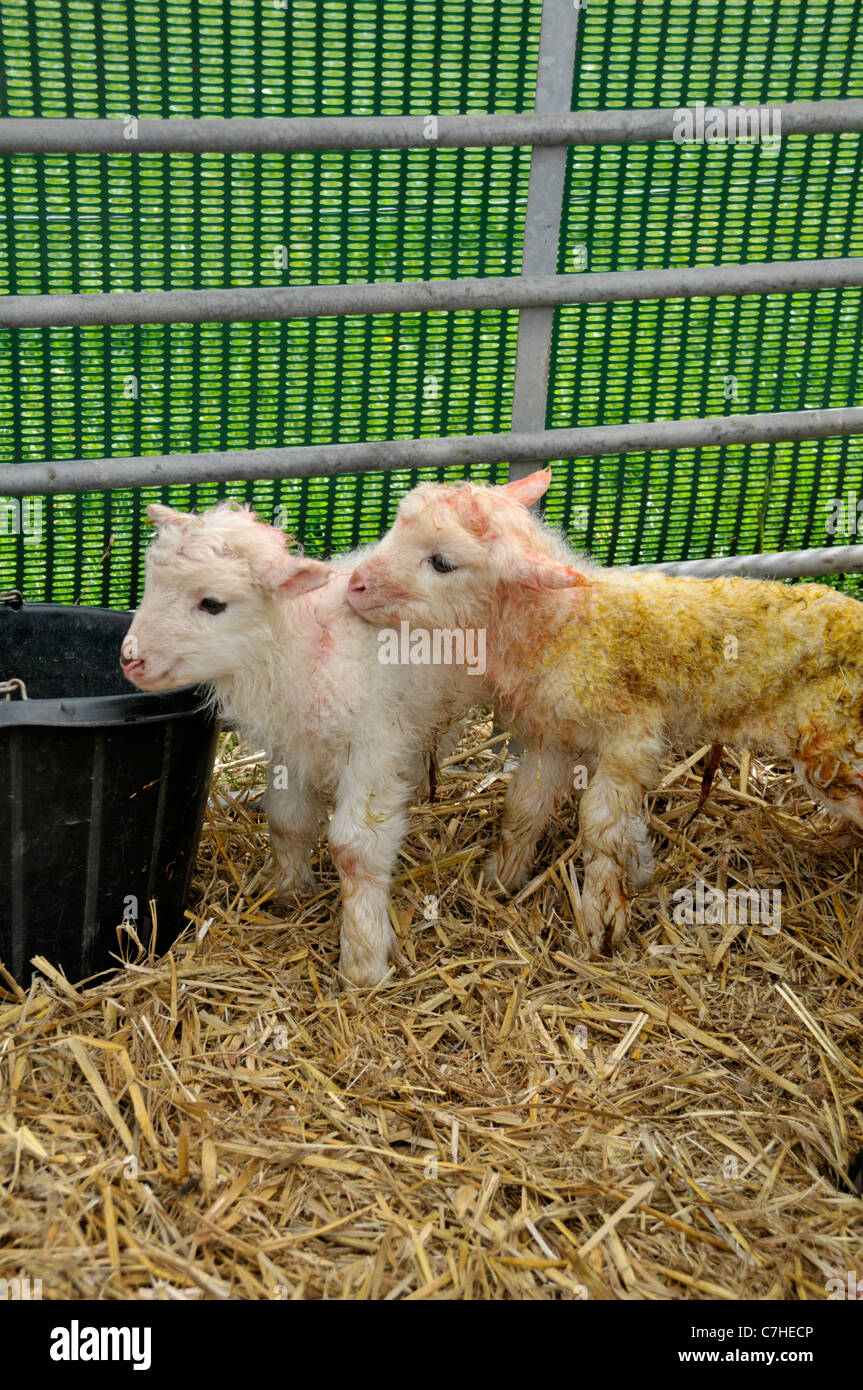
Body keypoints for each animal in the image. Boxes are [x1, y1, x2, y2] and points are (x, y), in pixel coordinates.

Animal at [120, 501, 488, 987]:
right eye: (151, 584)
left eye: (213, 603)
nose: (131, 659)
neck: (307, 643)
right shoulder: (293, 743)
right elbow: (287, 818)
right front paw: (289, 890)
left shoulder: (374, 746)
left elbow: (355, 847)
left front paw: (364, 962)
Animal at [346, 467, 863, 954]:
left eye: (442, 563)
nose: (355, 586)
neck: (567, 623)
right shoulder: (555, 737)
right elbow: (523, 807)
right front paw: (501, 878)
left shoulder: (631, 737)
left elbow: (600, 824)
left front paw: (602, 920)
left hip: (833, 751)